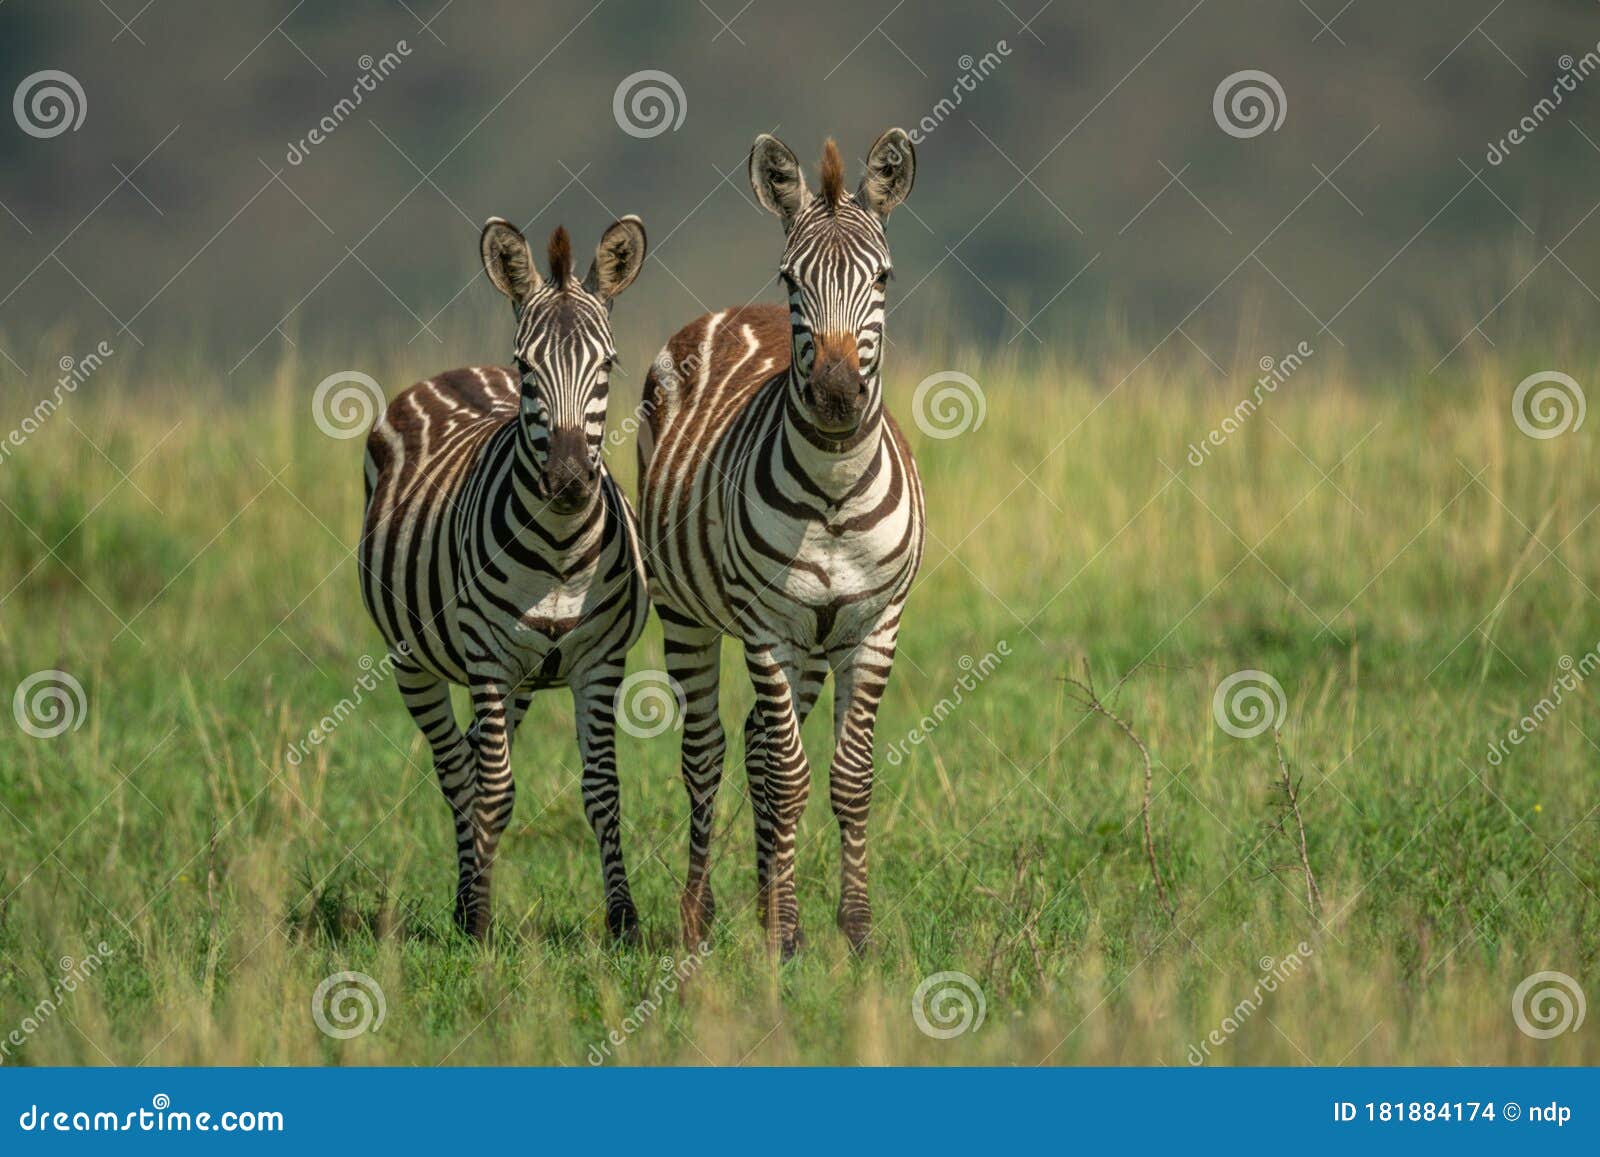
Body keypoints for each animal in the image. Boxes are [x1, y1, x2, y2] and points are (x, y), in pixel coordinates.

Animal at [359, 215, 650, 942]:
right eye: (526, 368)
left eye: (608, 366)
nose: (570, 483)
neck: (561, 551)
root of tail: (459, 371)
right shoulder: (487, 657)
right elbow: (493, 790)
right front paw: (483, 922)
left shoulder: (600, 660)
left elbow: (603, 789)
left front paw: (624, 921)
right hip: (416, 659)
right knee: (457, 771)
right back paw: (468, 905)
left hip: (521, 678)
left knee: (472, 757)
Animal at [637, 130, 924, 956]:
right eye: (794, 277)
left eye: (884, 276)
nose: (835, 394)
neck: (832, 491)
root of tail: (736, 310)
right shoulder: (767, 626)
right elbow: (792, 776)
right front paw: (788, 933)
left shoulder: (874, 624)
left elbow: (848, 776)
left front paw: (851, 929)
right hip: (688, 613)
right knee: (709, 751)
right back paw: (700, 916)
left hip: (813, 642)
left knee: (762, 746)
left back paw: (767, 901)